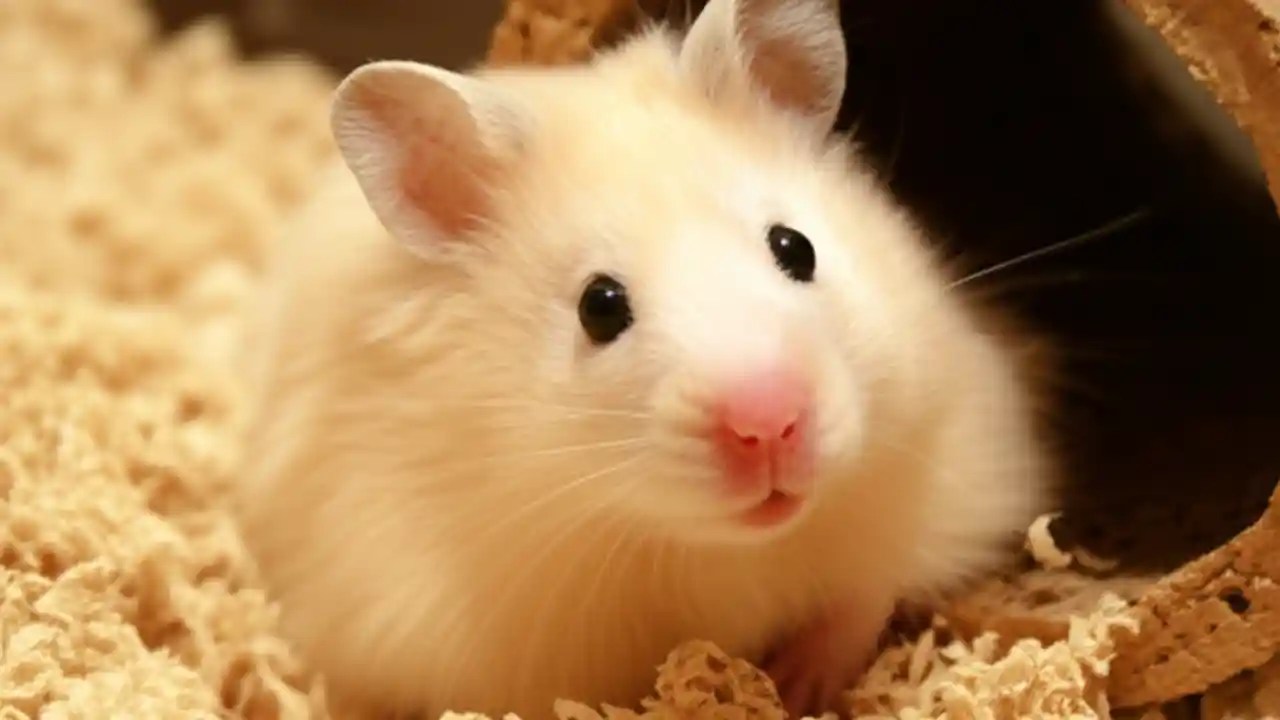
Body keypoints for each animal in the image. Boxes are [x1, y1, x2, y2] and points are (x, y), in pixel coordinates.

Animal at [234, 0, 1051, 717]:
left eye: (795, 247)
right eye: (599, 306)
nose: (770, 425)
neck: (709, 548)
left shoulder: (929, 477)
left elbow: (860, 599)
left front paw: (801, 687)